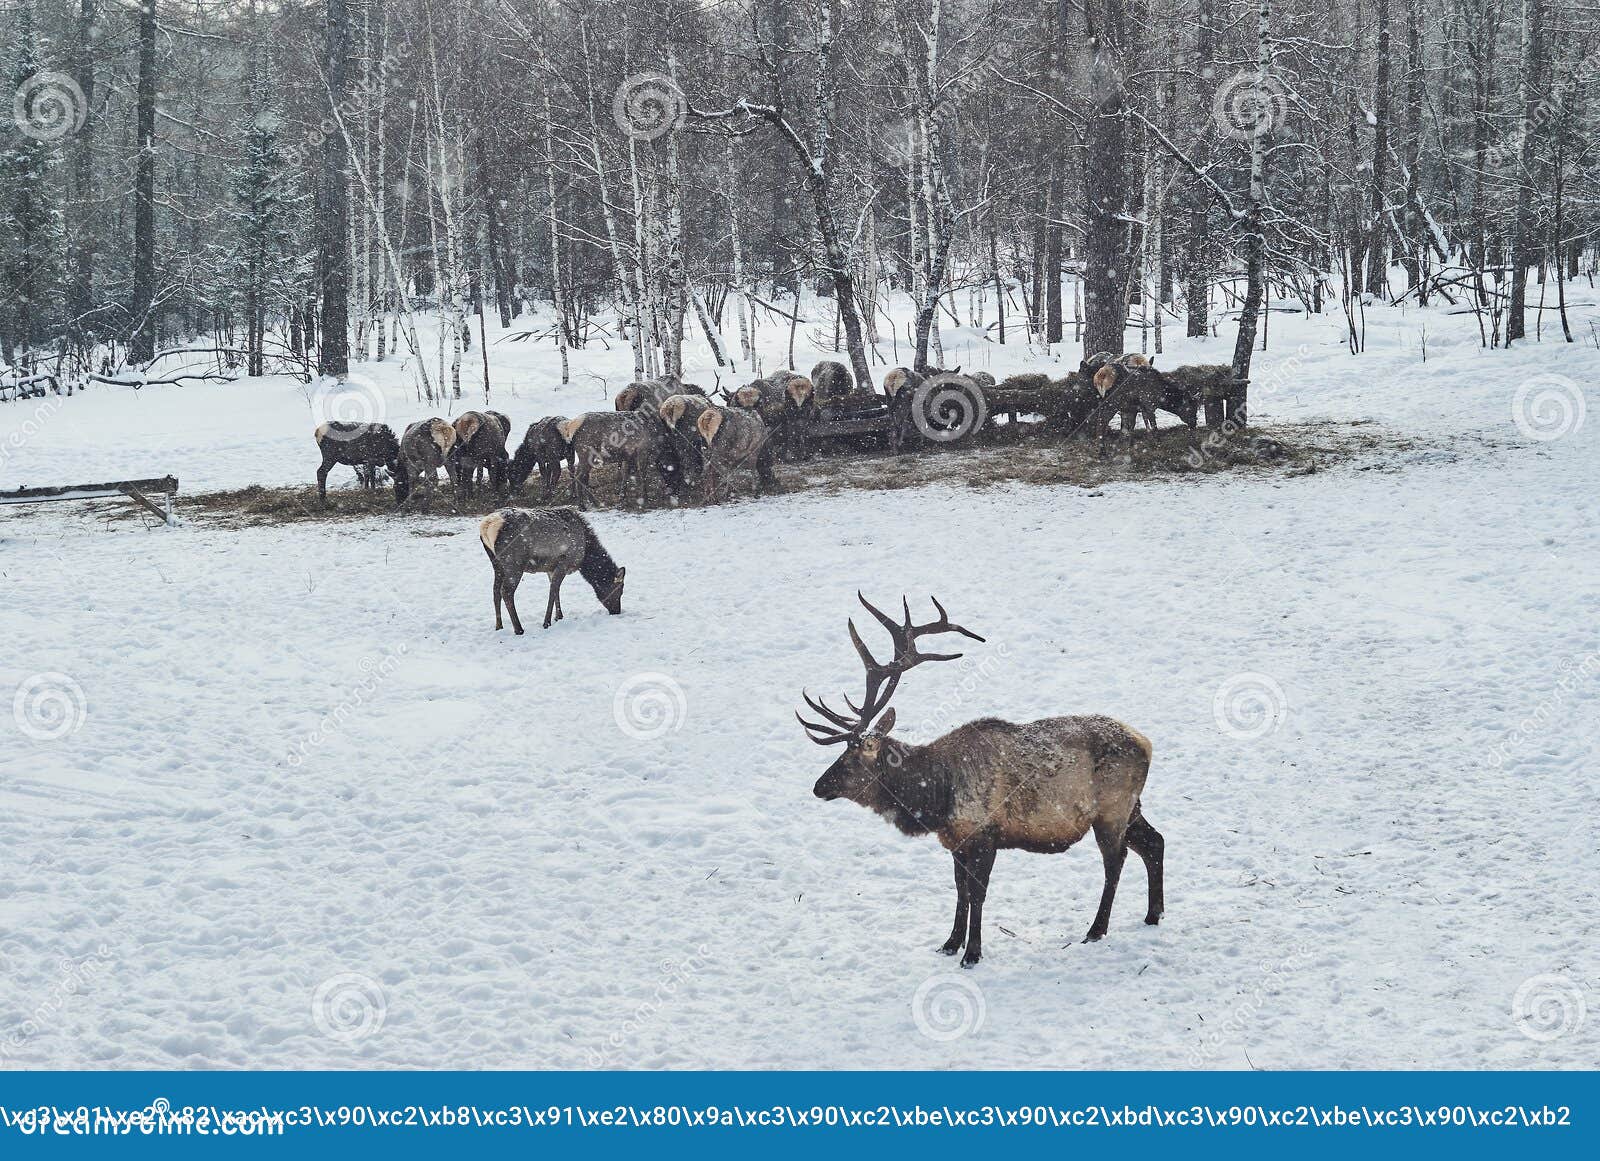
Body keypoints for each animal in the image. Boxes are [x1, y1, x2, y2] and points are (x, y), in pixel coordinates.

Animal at [479, 507, 625, 633]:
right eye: (619, 590)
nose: (617, 611)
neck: (585, 552)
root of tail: (487, 525)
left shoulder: (551, 568)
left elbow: (556, 590)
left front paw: (558, 617)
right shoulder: (564, 562)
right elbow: (553, 590)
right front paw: (547, 622)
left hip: (496, 563)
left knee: (495, 591)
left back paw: (499, 626)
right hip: (514, 563)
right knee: (506, 592)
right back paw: (519, 629)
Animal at [799, 594, 1164, 966]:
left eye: (849, 761)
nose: (818, 786)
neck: (936, 798)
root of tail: (1147, 743)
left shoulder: (985, 835)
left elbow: (978, 894)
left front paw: (972, 953)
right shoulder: (955, 840)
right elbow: (960, 891)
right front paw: (950, 943)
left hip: (1111, 810)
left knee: (1116, 860)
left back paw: (1096, 929)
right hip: (1131, 807)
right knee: (1155, 841)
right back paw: (1153, 914)